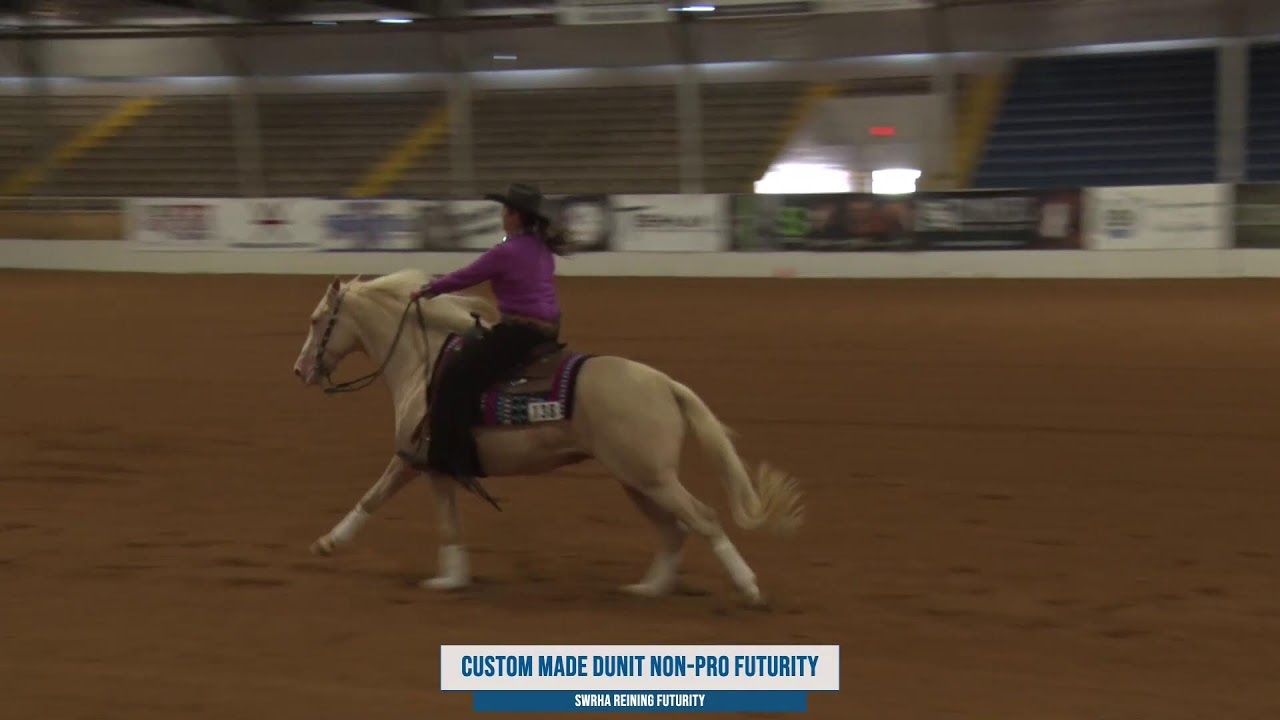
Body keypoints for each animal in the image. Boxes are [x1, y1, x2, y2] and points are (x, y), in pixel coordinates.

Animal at [290, 269, 804, 605]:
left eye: (317, 320)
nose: (299, 370)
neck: (424, 362)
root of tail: (663, 382)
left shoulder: (414, 457)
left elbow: (375, 497)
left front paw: (328, 543)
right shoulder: (438, 468)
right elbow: (448, 524)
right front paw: (451, 579)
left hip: (650, 477)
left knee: (704, 518)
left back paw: (748, 587)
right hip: (637, 479)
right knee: (674, 530)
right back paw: (649, 588)